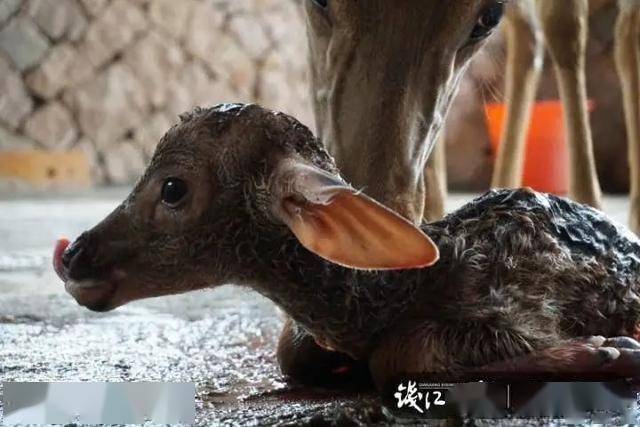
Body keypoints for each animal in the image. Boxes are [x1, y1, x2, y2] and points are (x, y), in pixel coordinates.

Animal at [53, 104, 640, 391]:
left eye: (173, 188)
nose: (73, 256)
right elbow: (293, 352)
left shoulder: (520, 299)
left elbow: (400, 355)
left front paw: (606, 351)